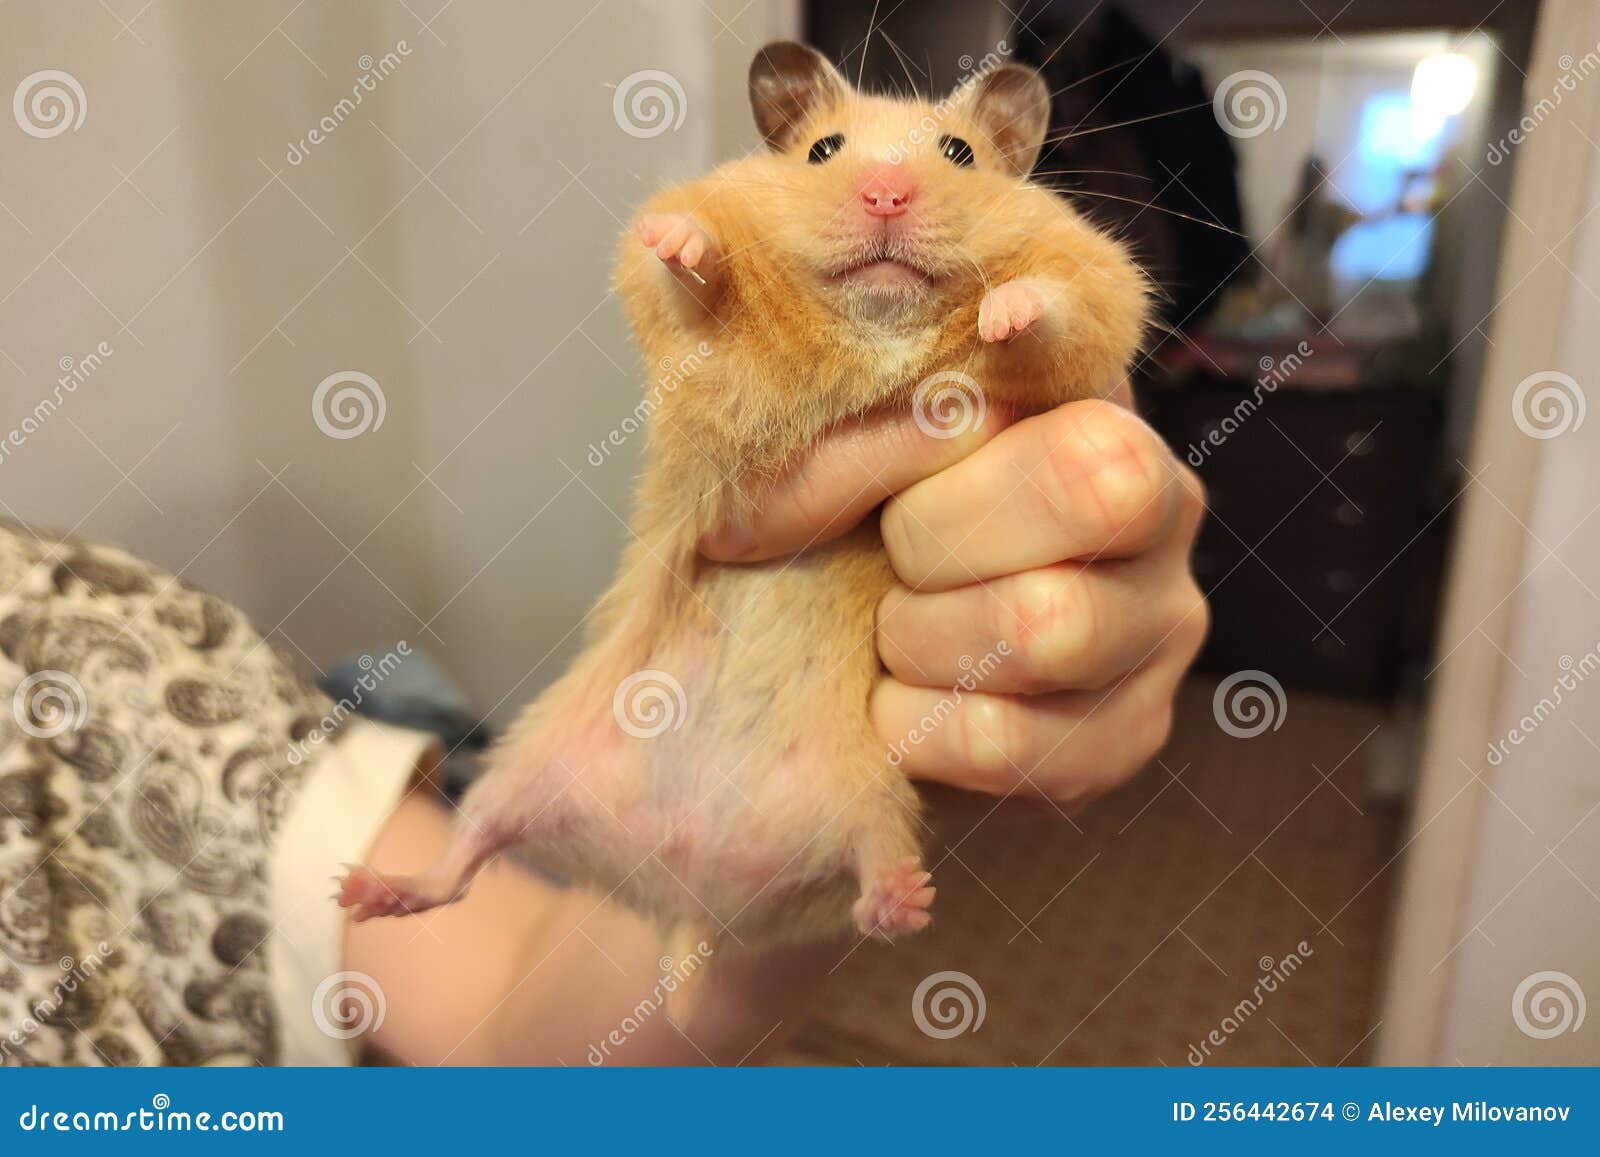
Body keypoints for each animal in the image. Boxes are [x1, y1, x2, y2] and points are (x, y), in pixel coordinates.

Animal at [339, 42, 1148, 1004]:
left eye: (958, 154)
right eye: (824, 150)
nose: (885, 195)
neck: (876, 328)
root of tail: (685, 888)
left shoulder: (1094, 298)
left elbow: (1057, 311)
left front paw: (1003, 310)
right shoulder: (701, 343)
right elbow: (686, 282)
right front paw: (680, 239)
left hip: (866, 794)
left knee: (868, 866)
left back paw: (905, 900)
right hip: (524, 764)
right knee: (465, 853)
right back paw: (362, 889)